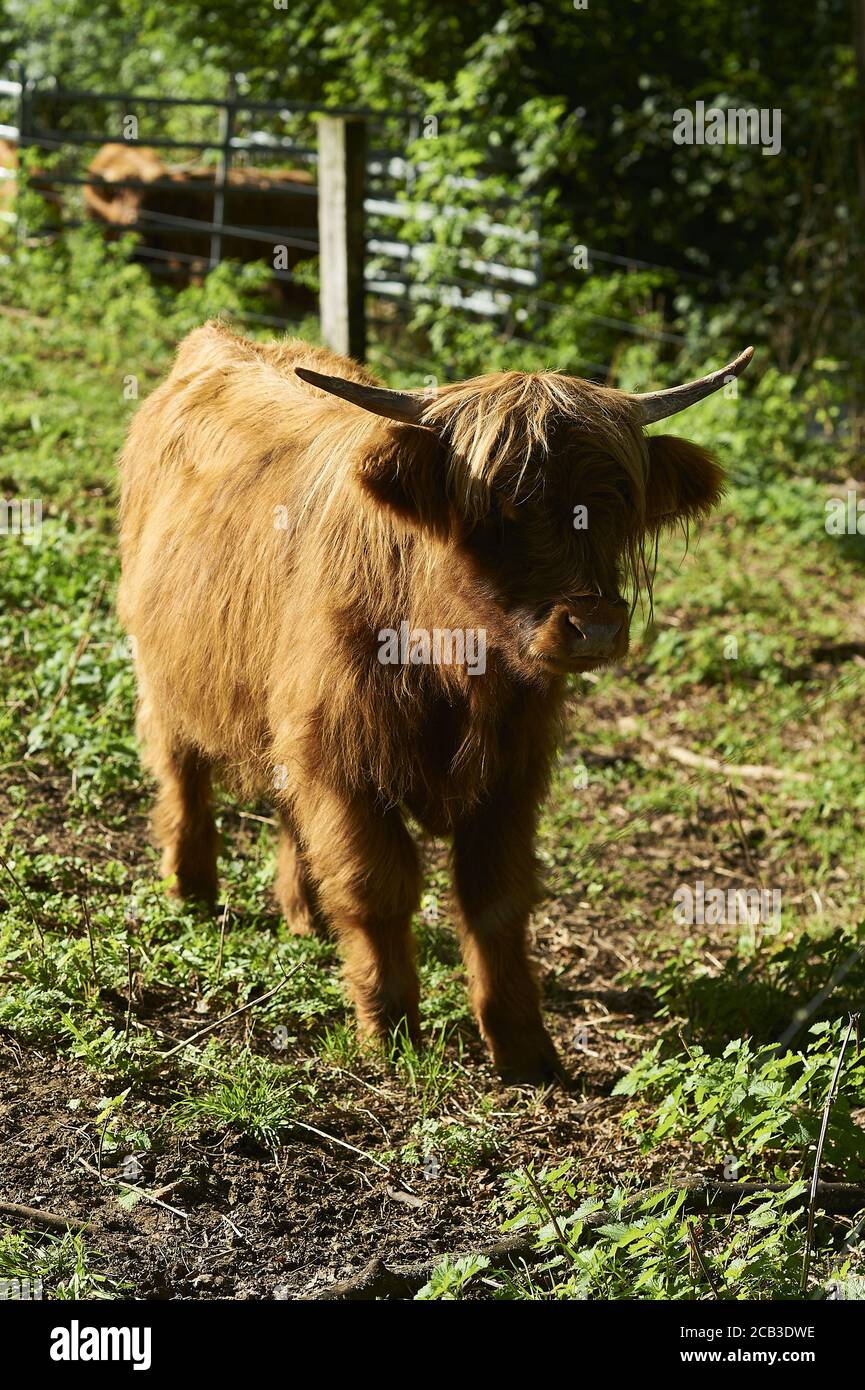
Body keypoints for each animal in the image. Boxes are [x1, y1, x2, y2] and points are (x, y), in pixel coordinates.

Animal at [118, 321, 752, 1082]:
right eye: (499, 510)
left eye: (615, 506)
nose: (594, 626)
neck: (456, 669)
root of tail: (222, 338)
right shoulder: (341, 761)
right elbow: (376, 886)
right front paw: (388, 1034)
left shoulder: (511, 772)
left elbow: (496, 898)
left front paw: (524, 1048)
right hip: (165, 669)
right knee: (180, 770)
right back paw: (190, 889)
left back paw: (306, 915)